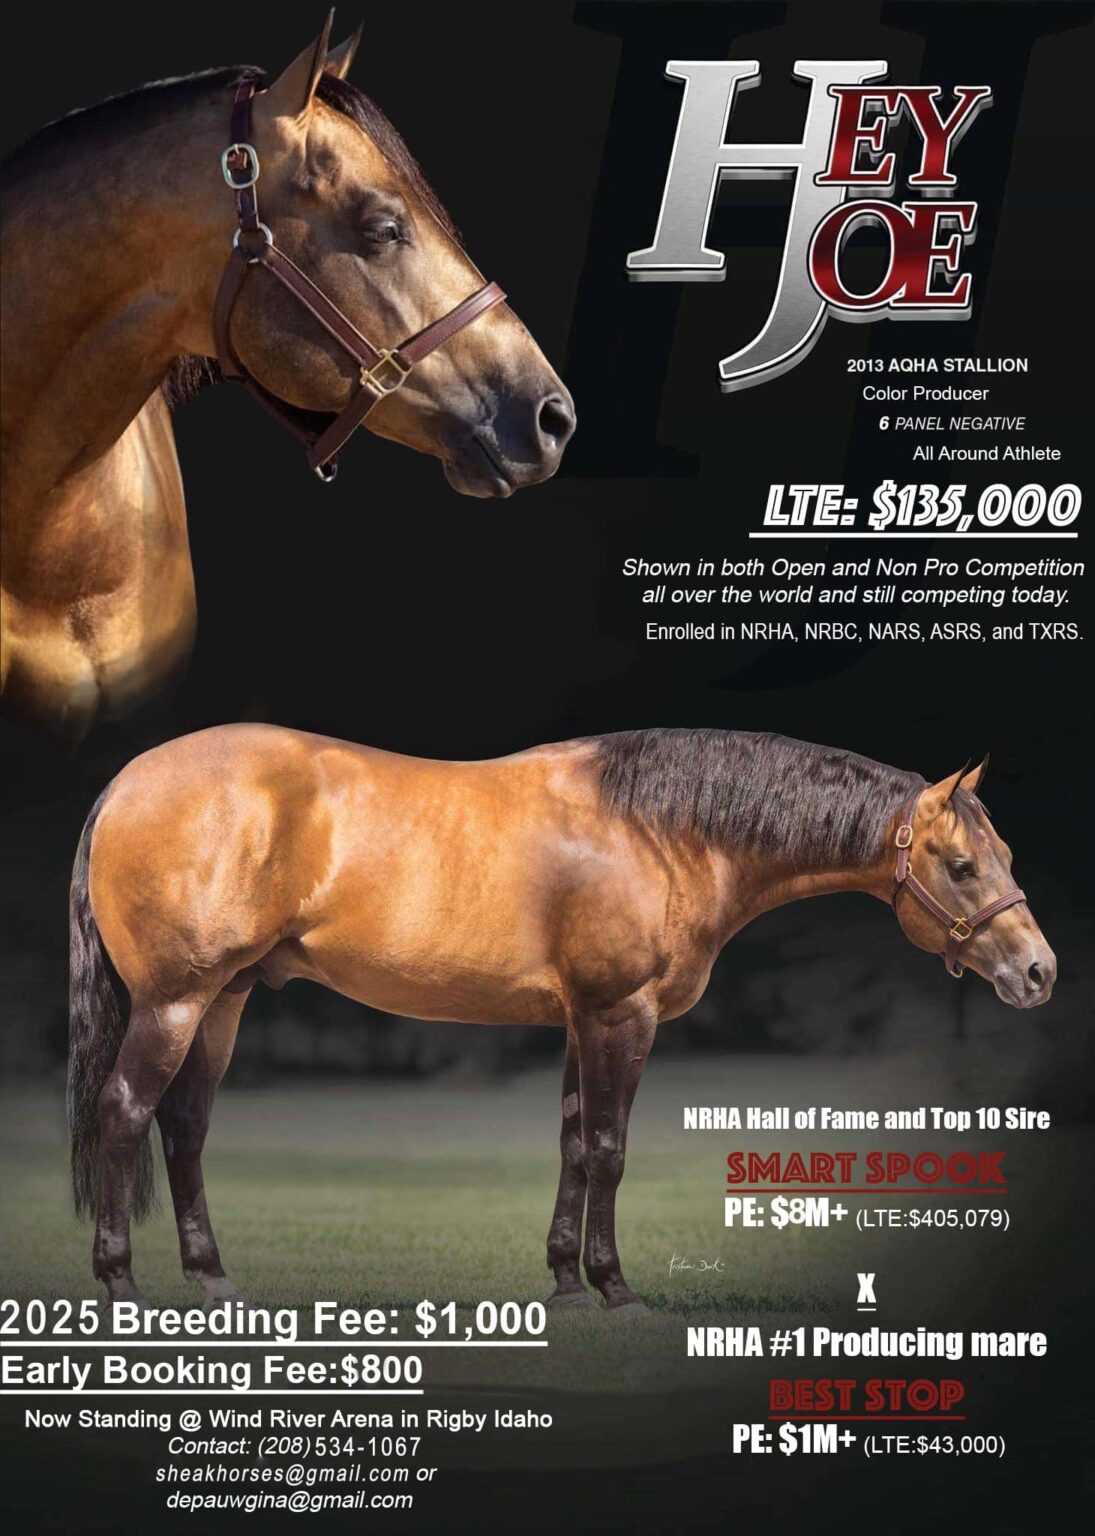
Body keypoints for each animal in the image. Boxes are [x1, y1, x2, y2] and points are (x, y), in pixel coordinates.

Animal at [68, 724, 1055, 1312]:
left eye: (1004, 852)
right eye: (962, 866)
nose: (1038, 972)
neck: (658, 829)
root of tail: (123, 783)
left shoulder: (585, 1019)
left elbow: (576, 1143)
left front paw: (566, 1283)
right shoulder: (621, 1016)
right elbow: (609, 1150)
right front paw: (614, 1289)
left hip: (223, 1000)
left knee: (184, 1127)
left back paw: (210, 1278)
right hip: (175, 1001)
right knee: (124, 1112)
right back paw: (117, 1283)